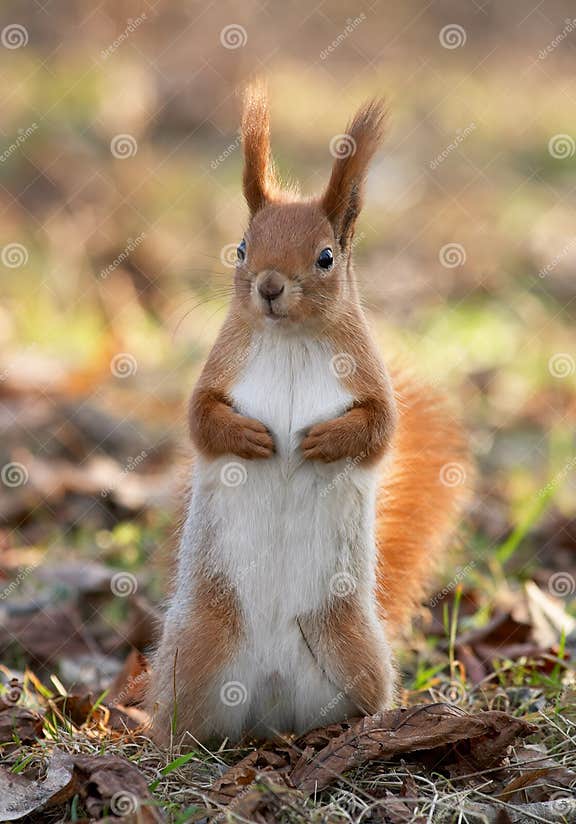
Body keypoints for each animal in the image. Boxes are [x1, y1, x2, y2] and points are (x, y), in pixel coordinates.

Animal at [147, 83, 469, 745]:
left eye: (325, 258)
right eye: (242, 248)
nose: (269, 285)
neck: (291, 339)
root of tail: (269, 707)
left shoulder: (368, 376)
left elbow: (380, 427)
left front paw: (324, 441)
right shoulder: (219, 368)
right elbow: (200, 419)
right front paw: (248, 436)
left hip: (351, 650)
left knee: (358, 701)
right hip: (196, 651)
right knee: (180, 720)